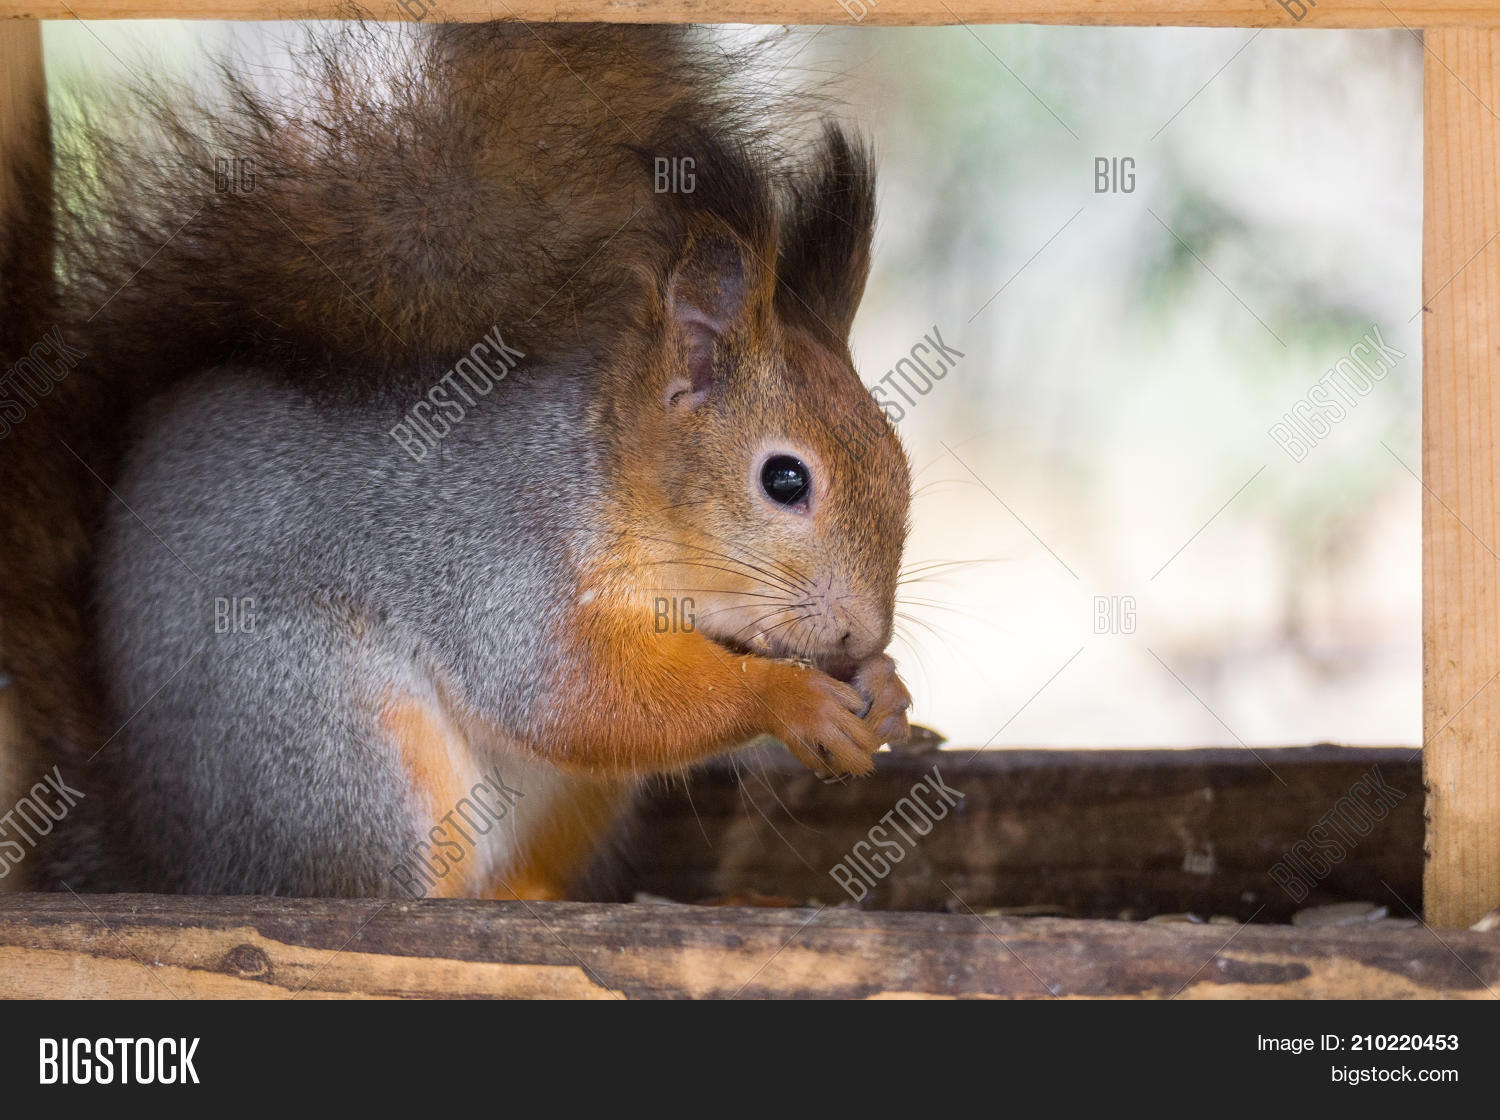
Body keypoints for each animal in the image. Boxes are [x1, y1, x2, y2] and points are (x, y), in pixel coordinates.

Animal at [0, 21, 913, 899]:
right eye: (785, 480)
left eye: (902, 470)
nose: (862, 632)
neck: (610, 481)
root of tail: (161, 861)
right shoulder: (500, 558)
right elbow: (570, 700)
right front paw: (791, 697)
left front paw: (888, 690)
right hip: (331, 739)